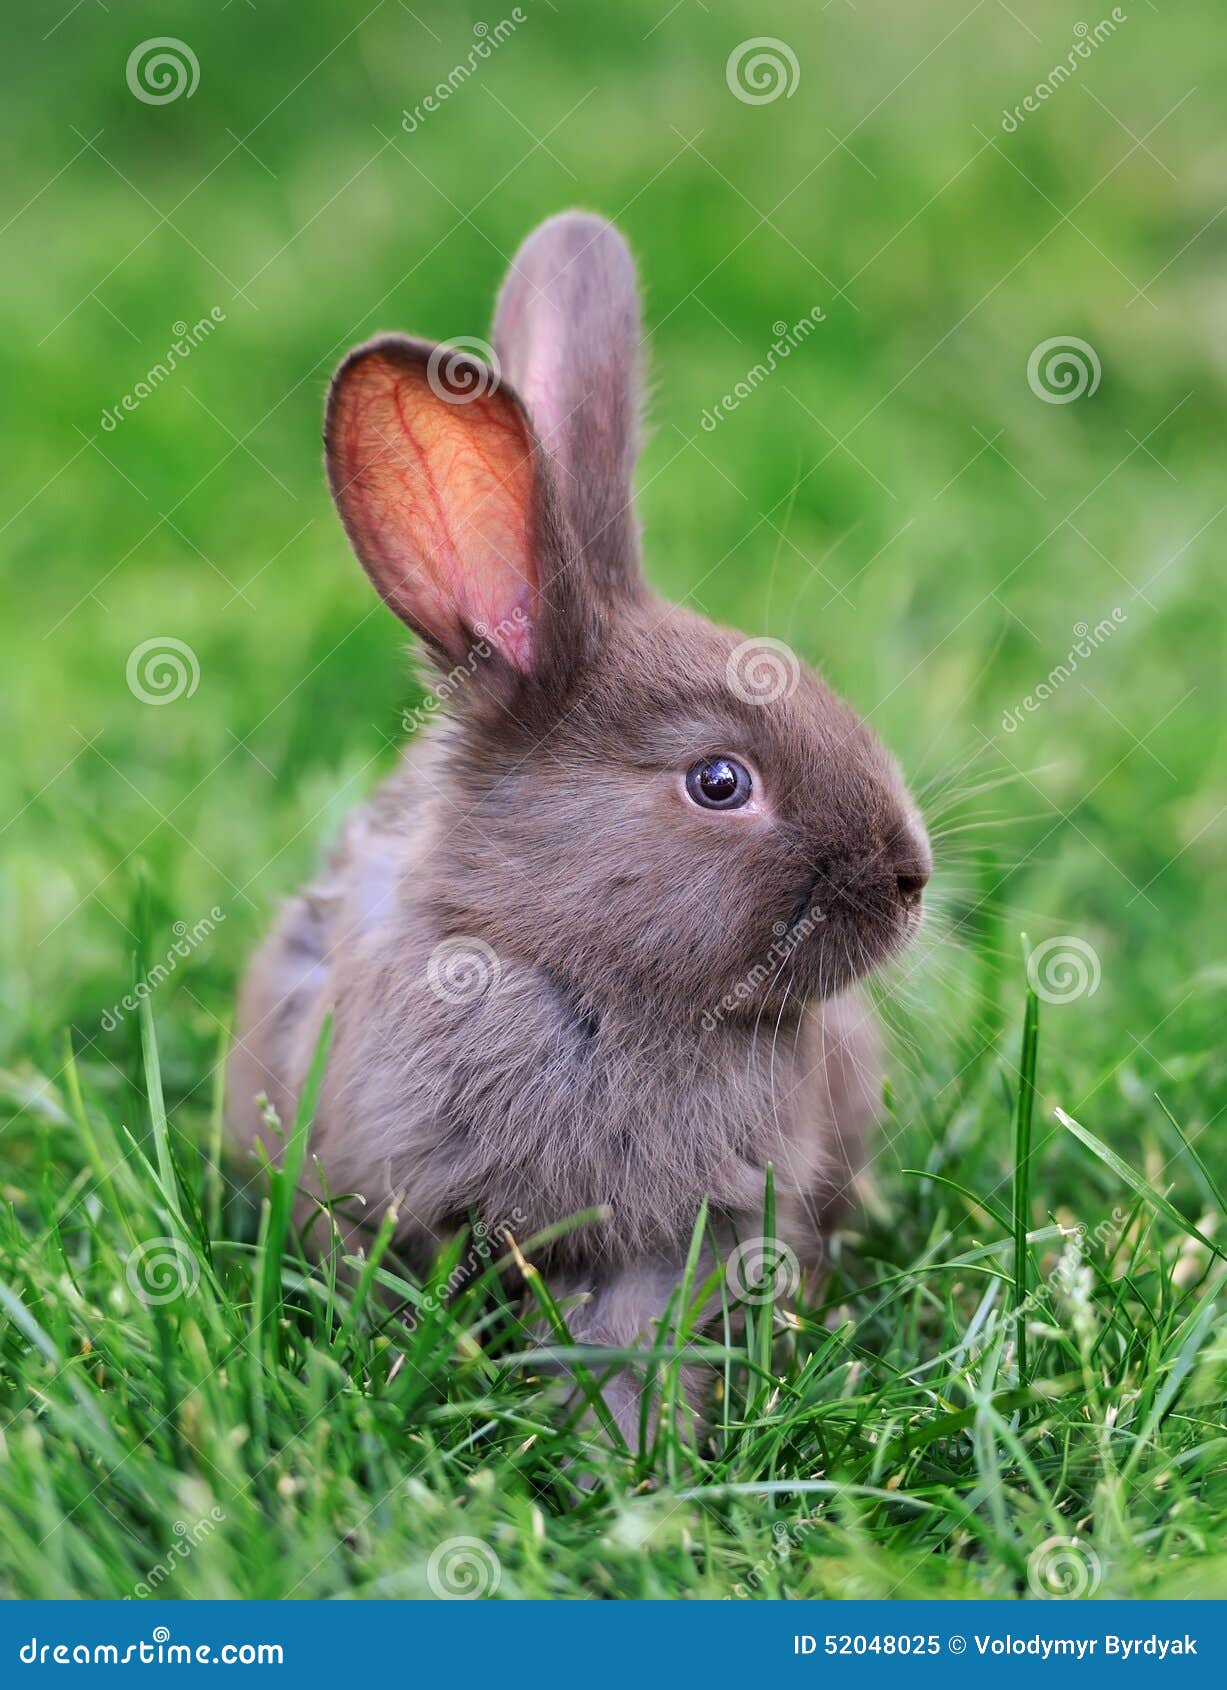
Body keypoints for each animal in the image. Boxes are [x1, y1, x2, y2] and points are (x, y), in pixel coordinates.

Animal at [228, 210, 931, 1449]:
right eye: (718, 781)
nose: (912, 876)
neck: (571, 971)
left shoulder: (693, 1229)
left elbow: (637, 1336)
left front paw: (628, 1458)